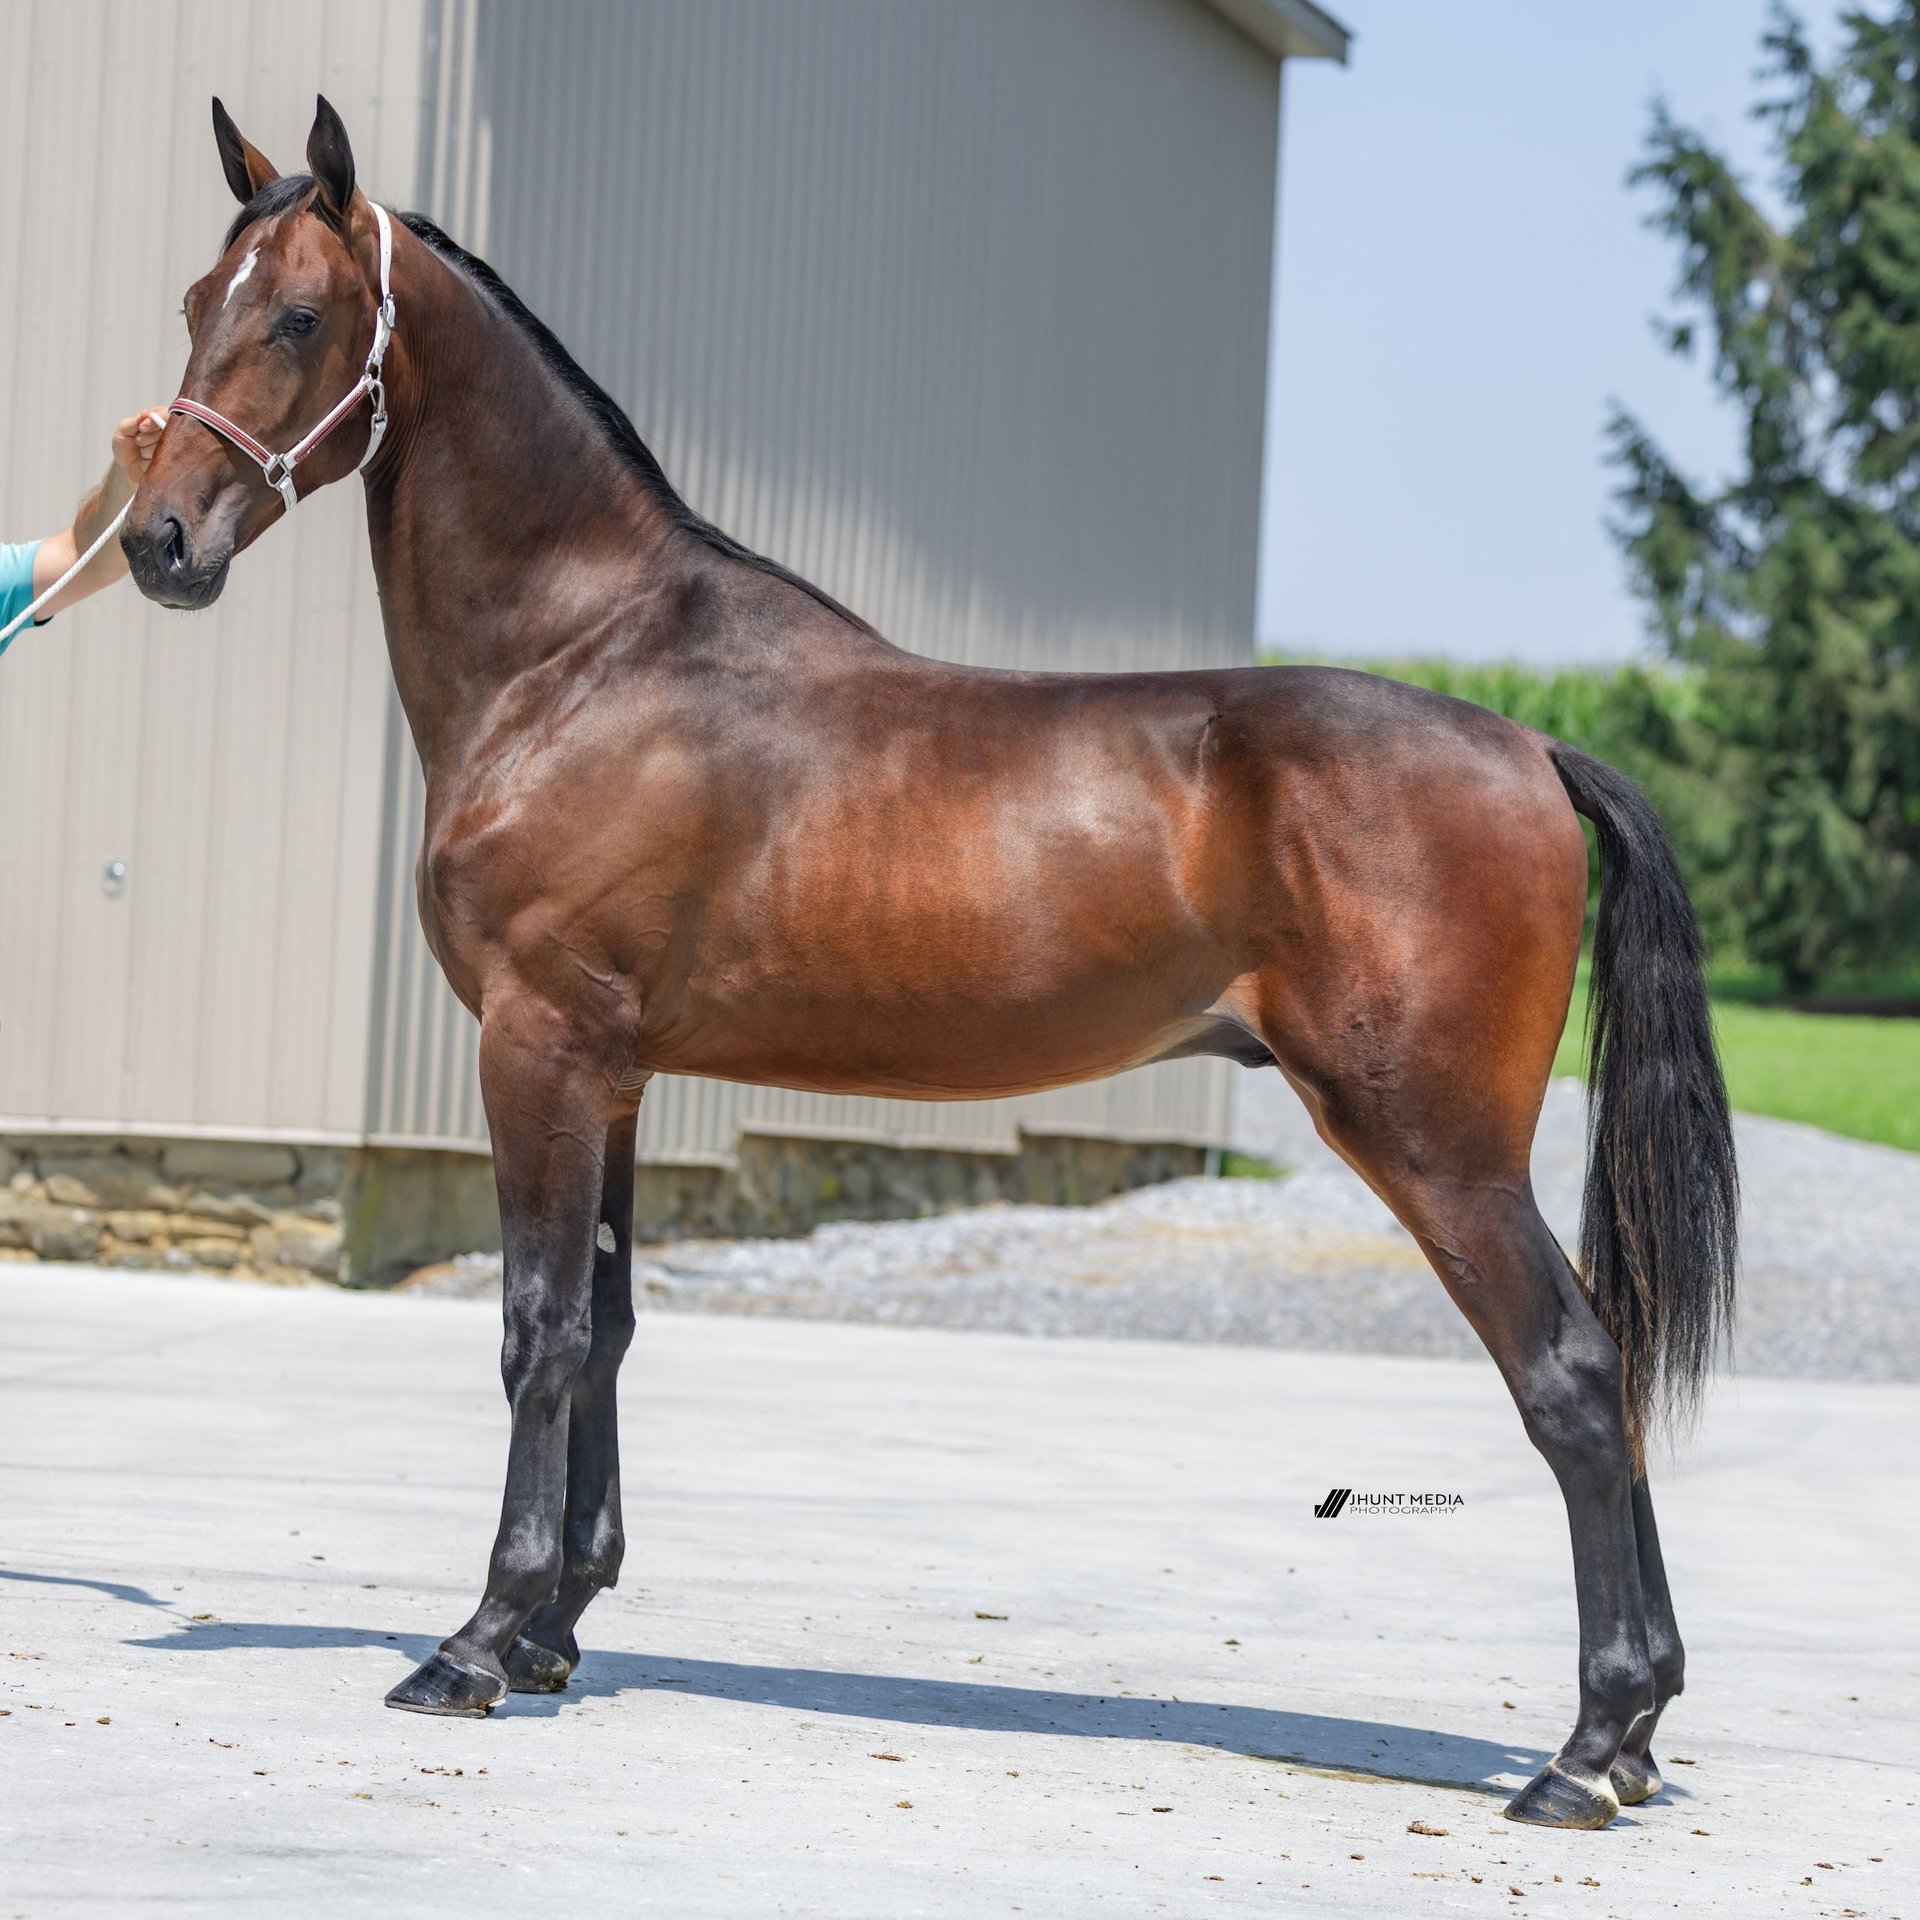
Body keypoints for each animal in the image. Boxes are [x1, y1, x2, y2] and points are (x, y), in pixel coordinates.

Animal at [122, 96, 1737, 1831]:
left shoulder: (536, 1050)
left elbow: (534, 1333)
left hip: (1435, 1146)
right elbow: (607, 1329)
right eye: (195, 303)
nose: (155, 541)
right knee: (1607, 1377)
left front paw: (478, 1643)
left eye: (299, 317)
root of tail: (1532, 749)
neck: (584, 663)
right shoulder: (613, 1079)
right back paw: (1634, 1735)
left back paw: (1586, 1749)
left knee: (1573, 1376)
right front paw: (559, 1631)